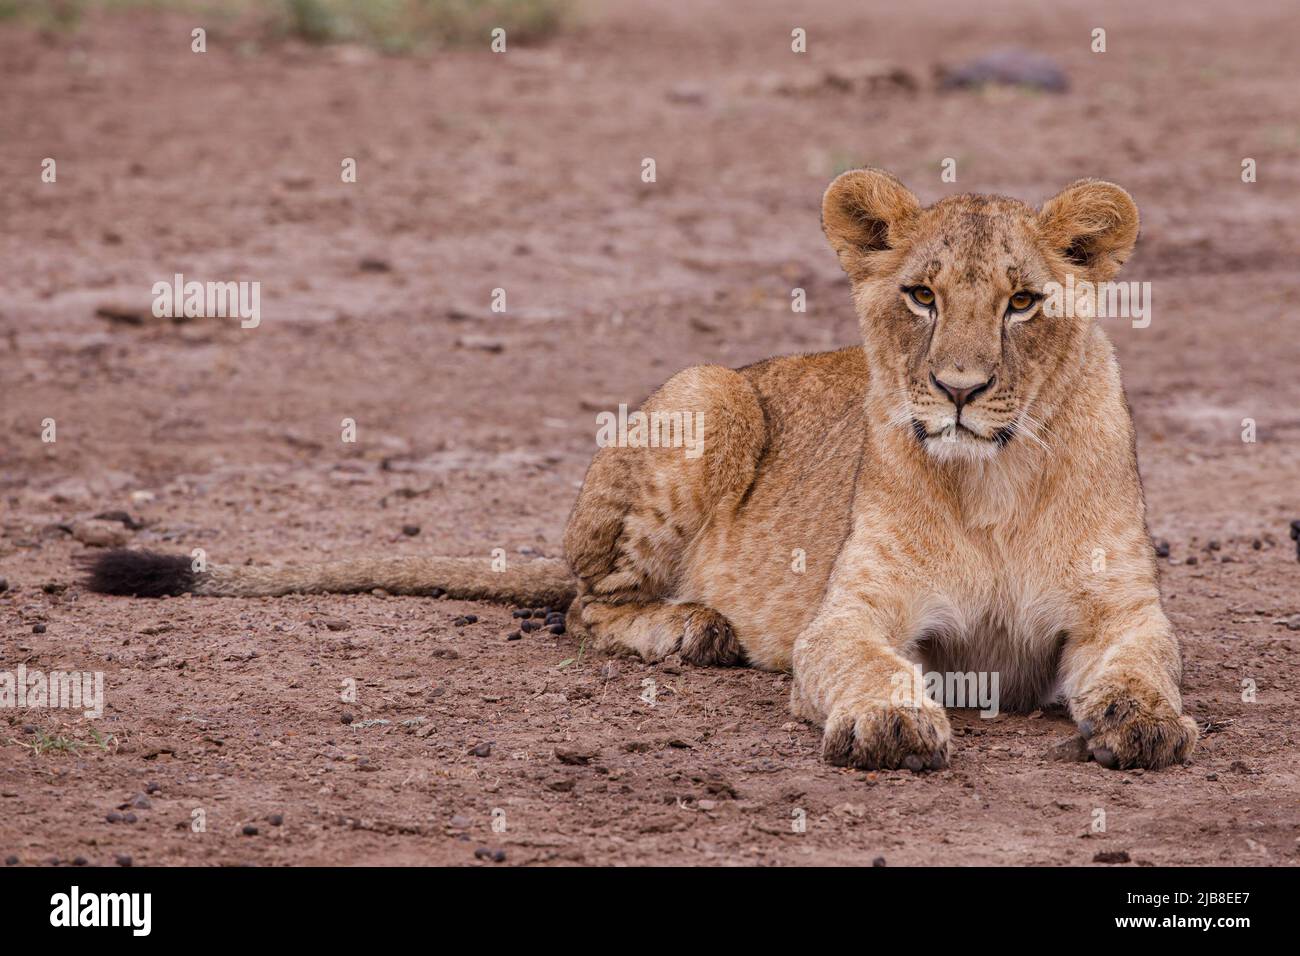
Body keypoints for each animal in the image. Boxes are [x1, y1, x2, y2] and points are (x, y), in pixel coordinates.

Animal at [85, 169, 1198, 772]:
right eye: (921, 295)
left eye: (1022, 302)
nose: (959, 390)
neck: (993, 481)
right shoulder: (850, 614)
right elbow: (868, 663)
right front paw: (889, 720)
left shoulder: (1118, 614)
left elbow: (1142, 666)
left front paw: (1147, 724)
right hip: (708, 392)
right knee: (585, 607)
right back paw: (696, 627)